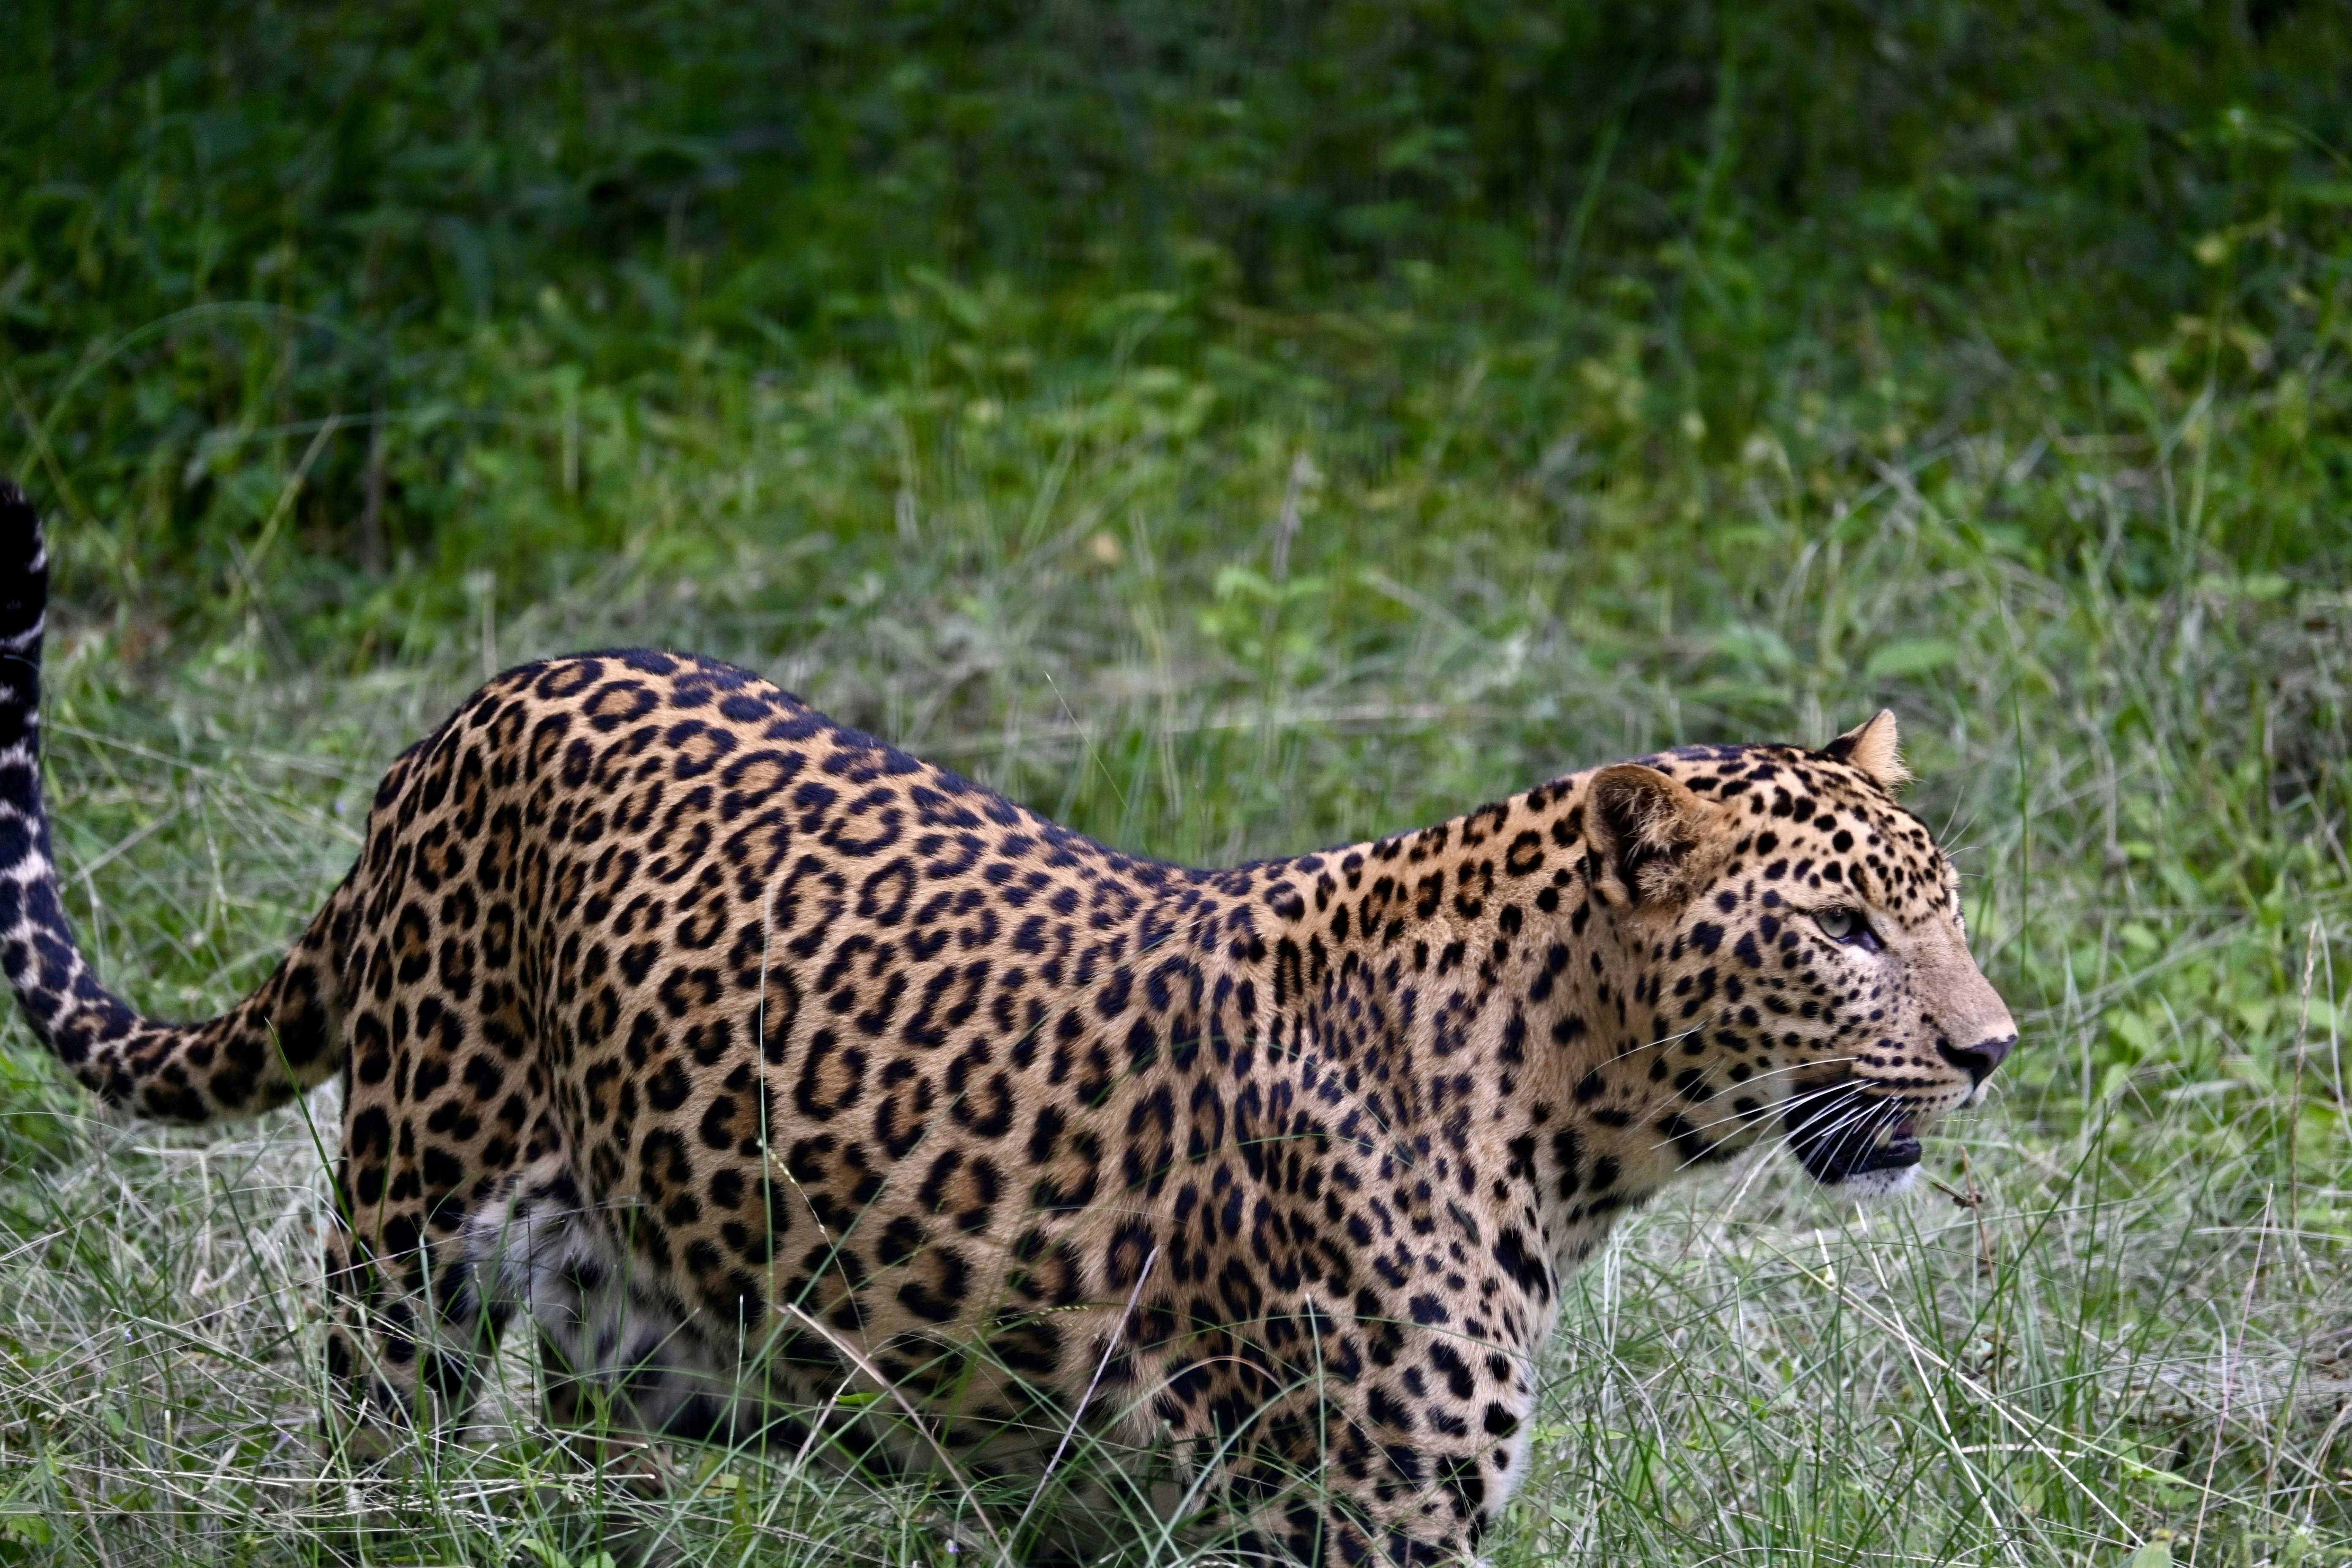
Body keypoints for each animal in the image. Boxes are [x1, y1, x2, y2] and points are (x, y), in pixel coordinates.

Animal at [0, 479, 2016, 1565]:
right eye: (1839, 928)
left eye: (1942, 905)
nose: (1990, 1048)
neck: (1569, 1121)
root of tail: (467, 713)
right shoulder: (1364, 1515)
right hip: (409, 1242)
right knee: (386, 1458)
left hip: (611, 1292)